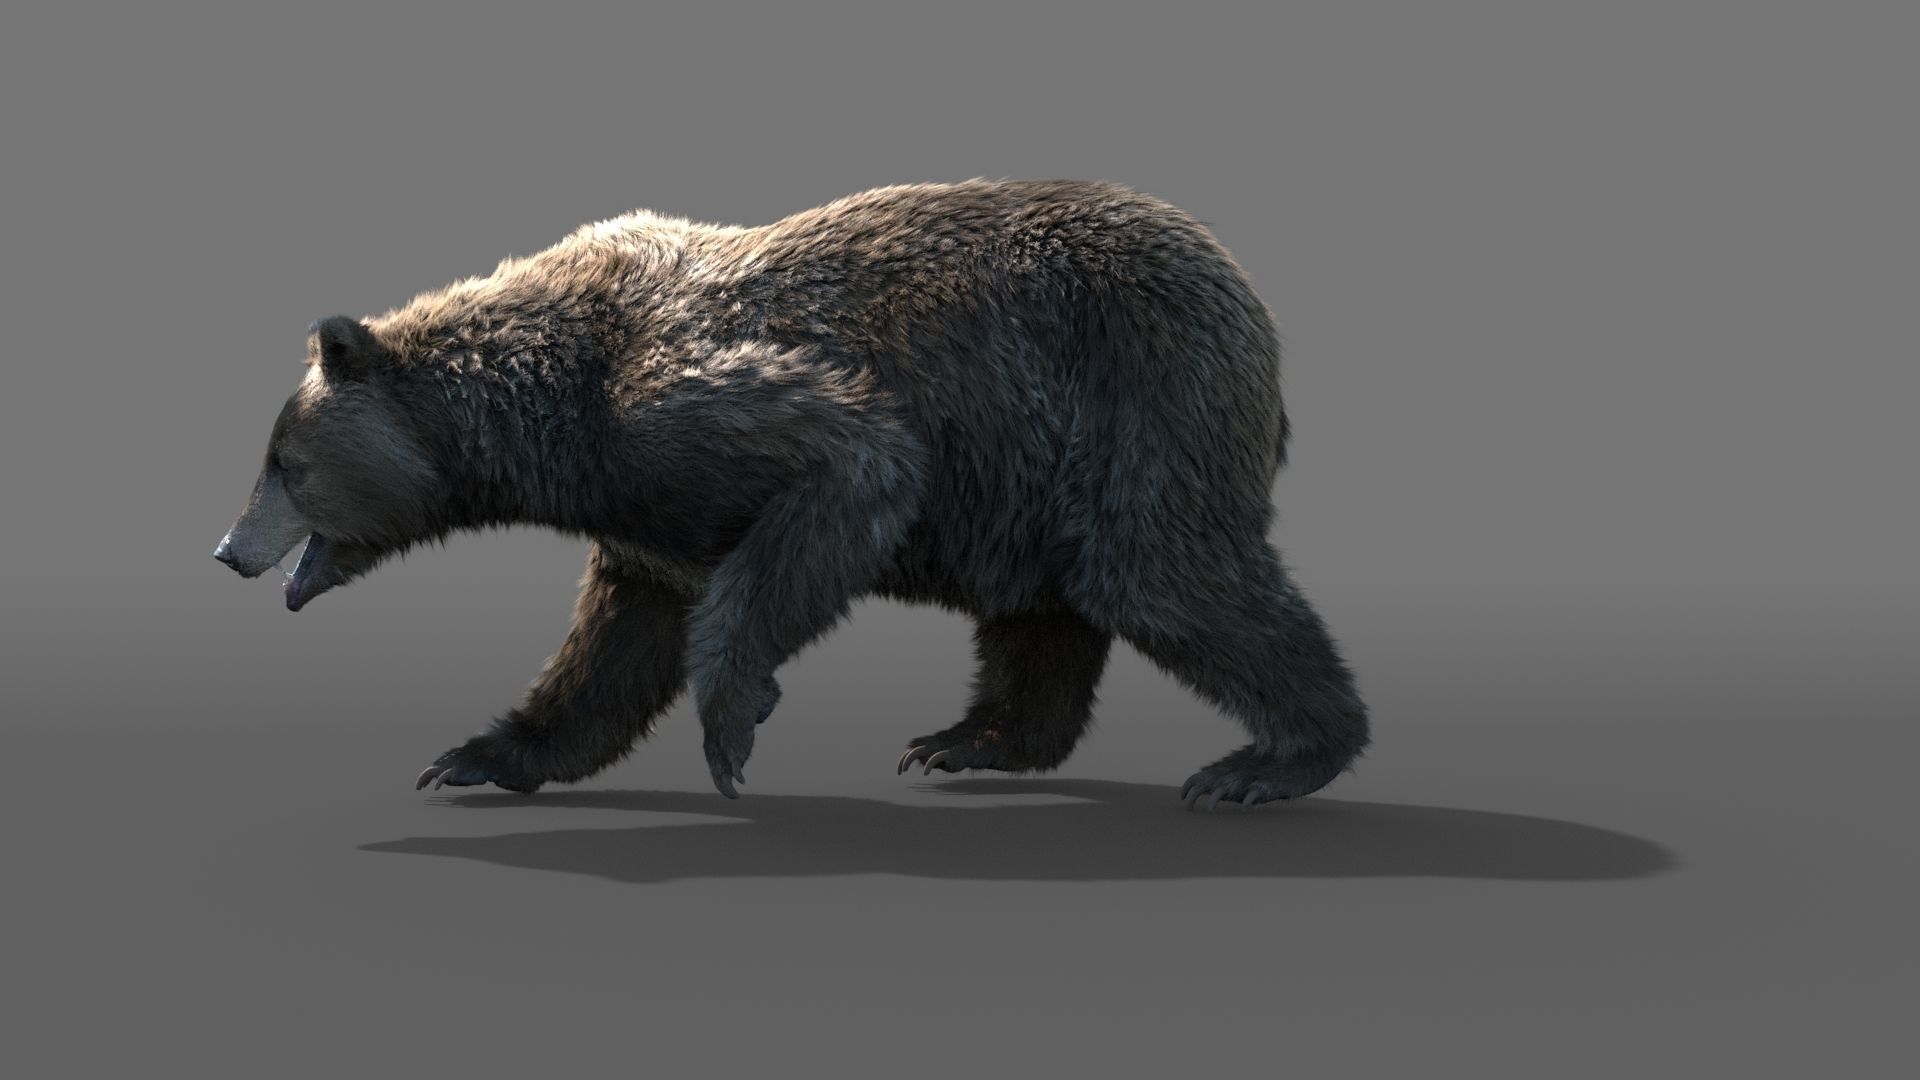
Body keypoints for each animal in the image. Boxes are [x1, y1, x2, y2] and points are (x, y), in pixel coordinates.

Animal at [213, 178, 1371, 809]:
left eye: (282, 461)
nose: (227, 549)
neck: (552, 407)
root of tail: (1252, 301)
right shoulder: (641, 505)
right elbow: (612, 649)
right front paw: (478, 755)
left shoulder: (677, 408)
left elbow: (852, 465)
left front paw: (734, 725)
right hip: (1030, 479)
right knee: (1042, 610)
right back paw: (970, 740)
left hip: (1136, 404)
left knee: (1167, 575)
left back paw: (1271, 760)